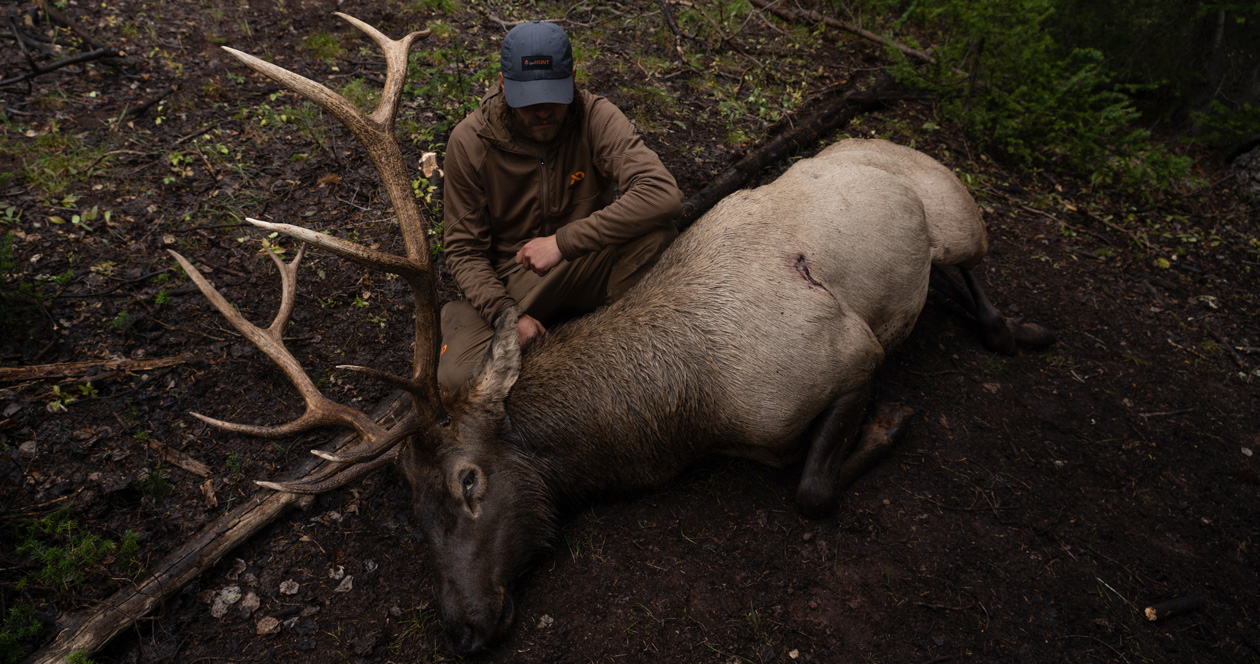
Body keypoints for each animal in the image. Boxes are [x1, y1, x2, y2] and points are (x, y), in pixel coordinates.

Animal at [174, 14, 1053, 656]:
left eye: (469, 481)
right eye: (412, 511)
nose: (462, 629)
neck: (691, 421)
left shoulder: (847, 356)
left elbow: (810, 489)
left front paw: (892, 421)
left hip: (956, 214)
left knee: (977, 279)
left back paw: (1021, 325)